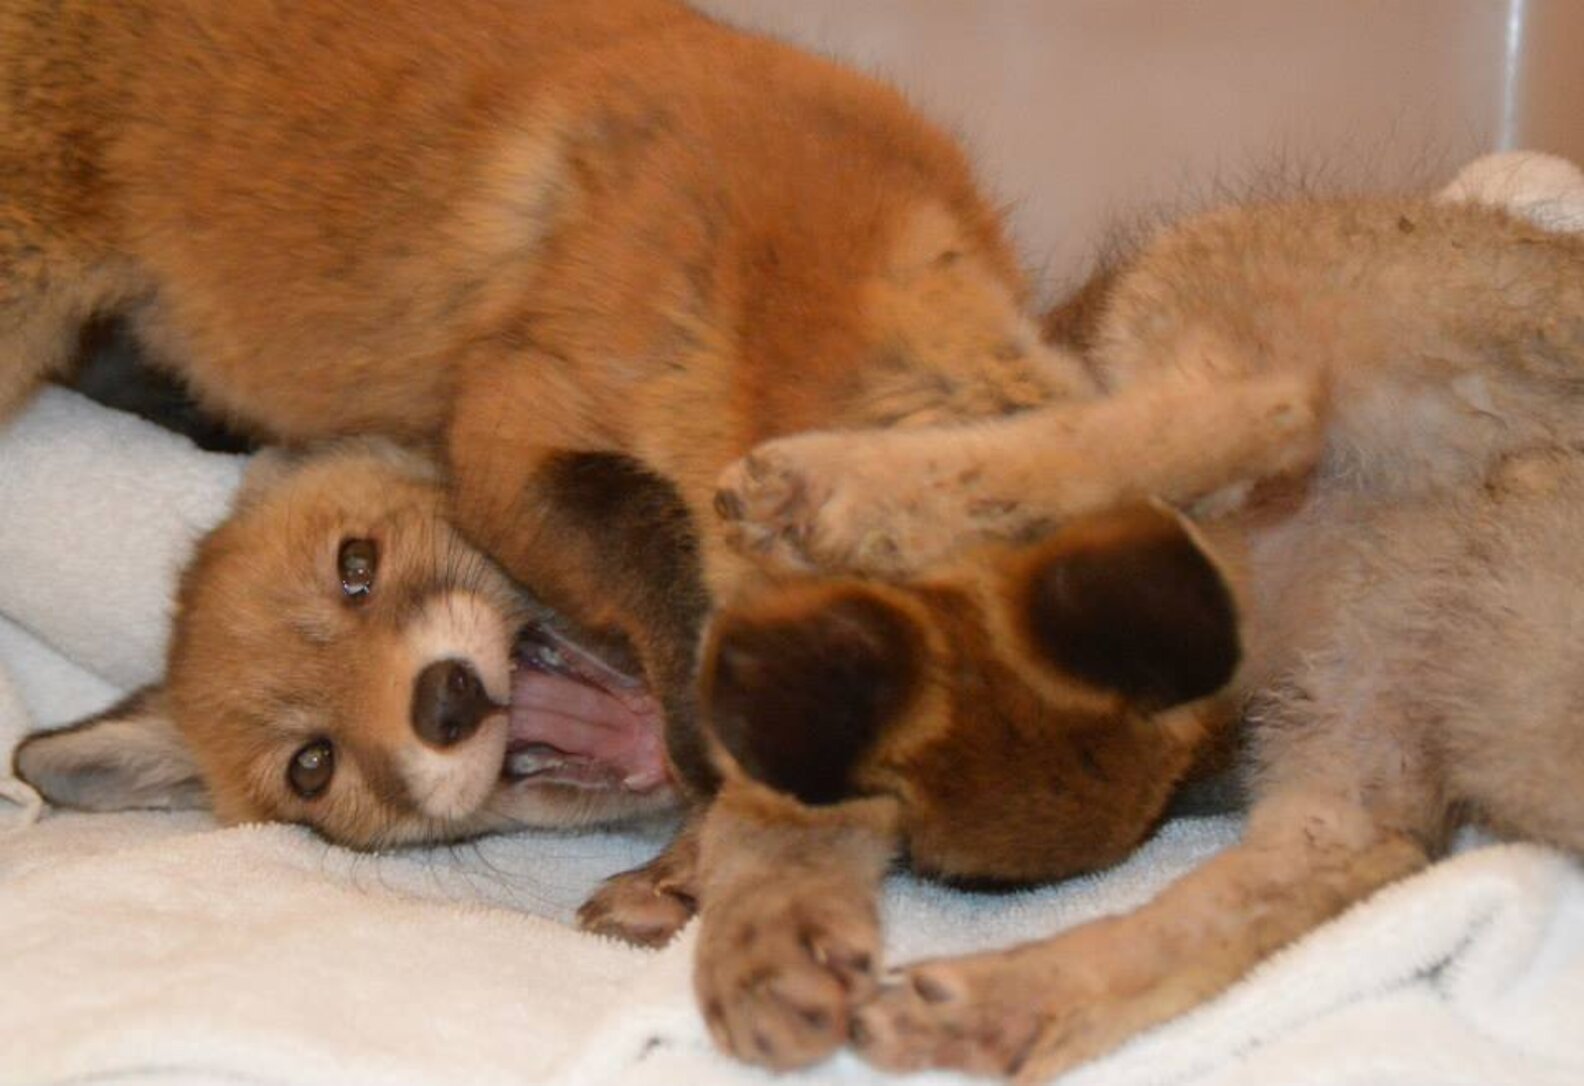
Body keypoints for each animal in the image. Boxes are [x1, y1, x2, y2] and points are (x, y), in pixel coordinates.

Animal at [2, 0, 1265, 1071]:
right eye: (312, 766)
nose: (444, 702)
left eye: (359, 570)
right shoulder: (505, 428)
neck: (771, 262)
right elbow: (644, 526)